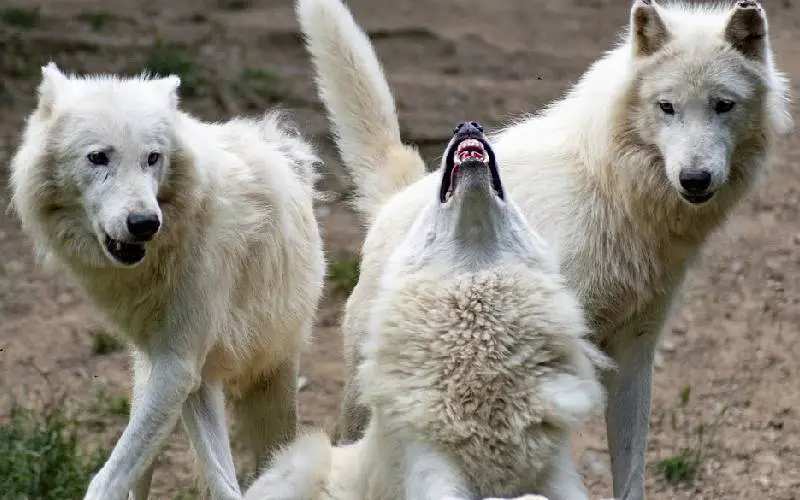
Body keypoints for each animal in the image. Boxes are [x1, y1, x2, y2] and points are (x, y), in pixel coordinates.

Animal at [9, 64, 326, 500]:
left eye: (152, 158)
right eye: (98, 157)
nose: (144, 223)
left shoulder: (179, 364)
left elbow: (109, 480)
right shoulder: (180, 370)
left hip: (268, 377)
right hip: (164, 377)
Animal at [296, 0, 792, 499]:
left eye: (723, 105)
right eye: (667, 107)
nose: (694, 179)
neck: (614, 192)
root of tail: (397, 198)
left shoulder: (635, 350)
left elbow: (630, 468)